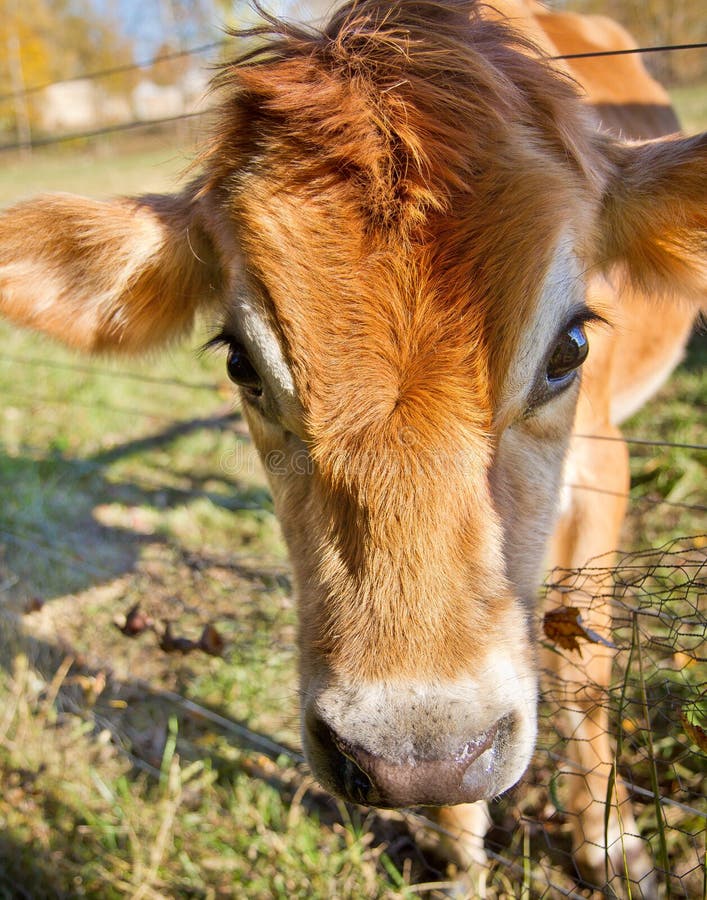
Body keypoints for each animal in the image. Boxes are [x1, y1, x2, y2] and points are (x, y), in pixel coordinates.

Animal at [0, 0, 703, 891]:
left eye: (570, 347)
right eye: (239, 362)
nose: (414, 752)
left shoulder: (604, 463)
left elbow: (582, 670)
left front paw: (611, 847)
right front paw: (456, 848)